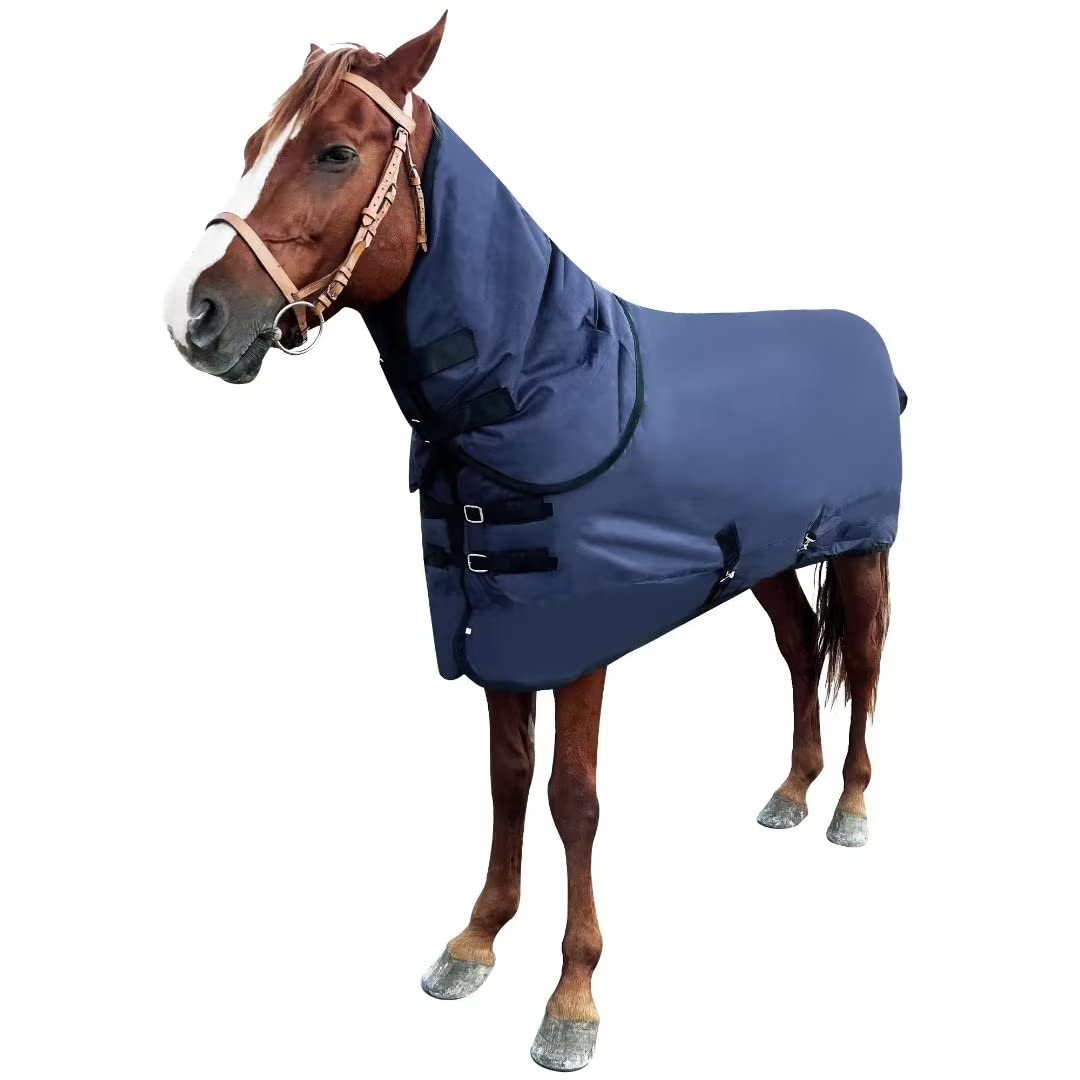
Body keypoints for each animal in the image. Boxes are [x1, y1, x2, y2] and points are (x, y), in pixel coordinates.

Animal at [164, 15, 903, 1072]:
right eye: (253, 146)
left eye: (336, 151)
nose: (195, 317)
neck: (540, 381)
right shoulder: (497, 630)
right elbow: (507, 778)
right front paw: (475, 940)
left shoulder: (576, 637)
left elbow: (572, 798)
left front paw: (572, 998)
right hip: (766, 561)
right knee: (802, 651)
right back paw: (792, 792)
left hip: (864, 553)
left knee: (866, 666)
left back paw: (847, 808)